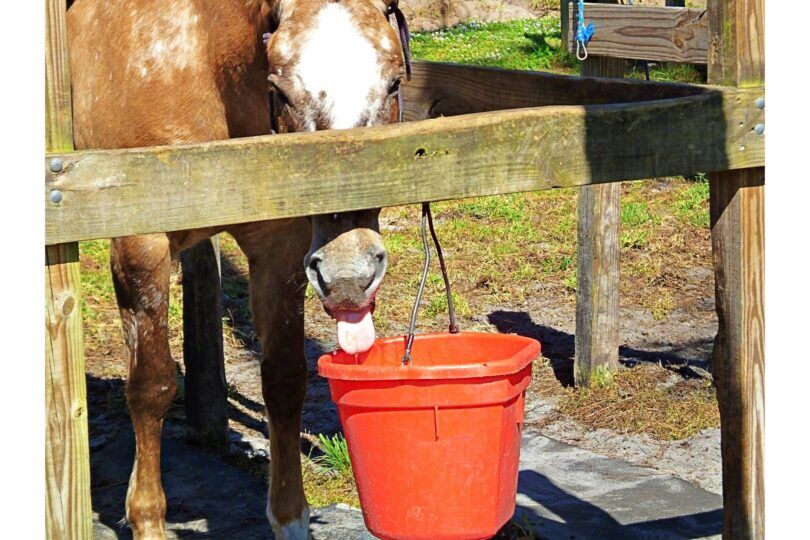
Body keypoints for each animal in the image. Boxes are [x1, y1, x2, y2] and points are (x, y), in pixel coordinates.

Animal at [67, 0, 406, 537]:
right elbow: (151, 386)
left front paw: (290, 518)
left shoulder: (278, 248)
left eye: (393, 83)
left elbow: (284, 381)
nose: (348, 277)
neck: (199, 59)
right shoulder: (142, 245)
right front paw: (147, 520)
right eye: (280, 90)